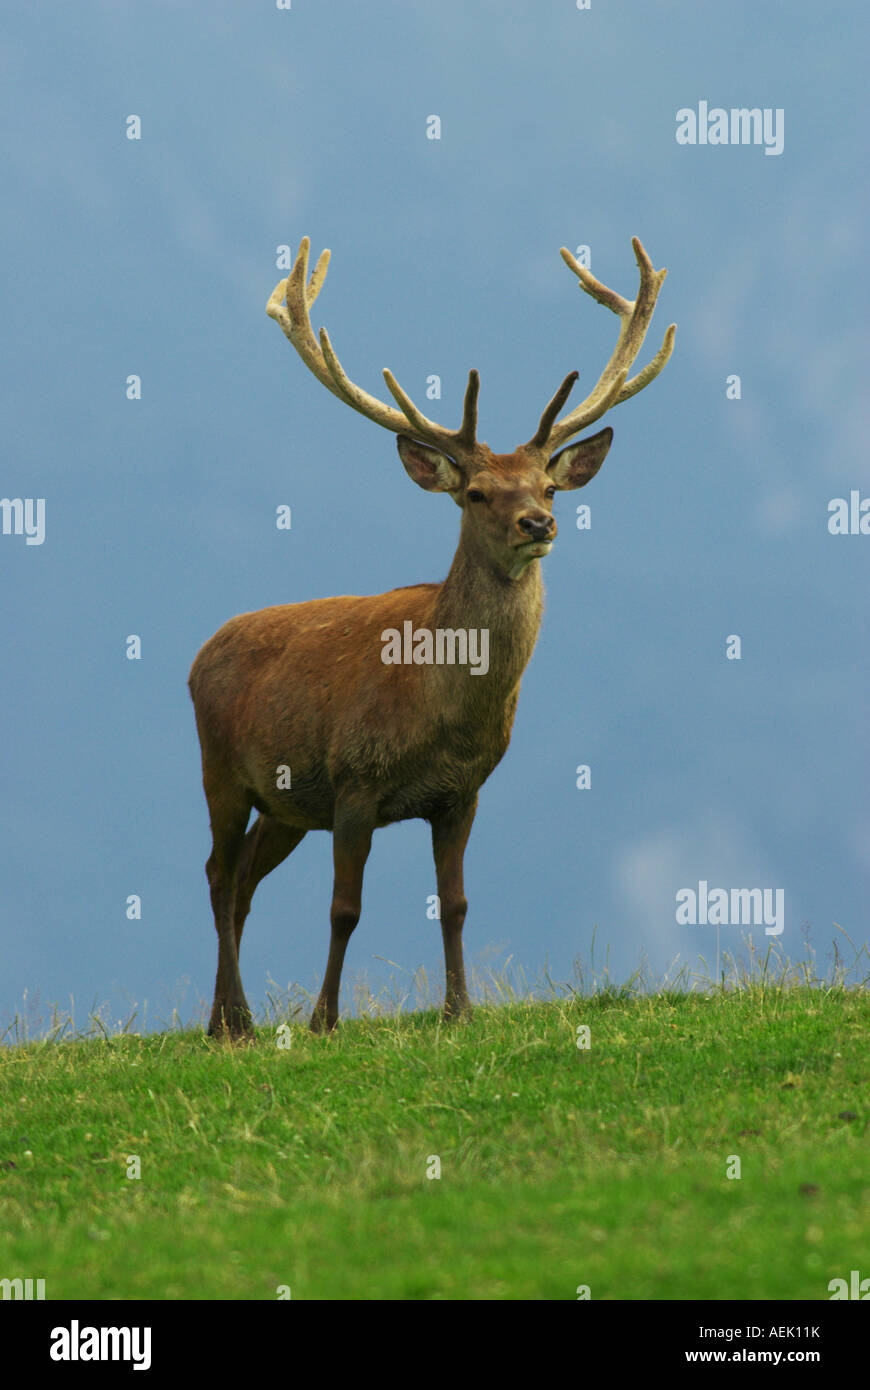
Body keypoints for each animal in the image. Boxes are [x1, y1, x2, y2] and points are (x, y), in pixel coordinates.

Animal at [188, 235, 675, 1040]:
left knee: (242, 880)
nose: (539, 523)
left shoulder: (461, 794)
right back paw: (239, 1023)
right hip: (221, 771)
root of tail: (200, 652)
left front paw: (459, 1011)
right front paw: (324, 1020)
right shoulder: (355, 782)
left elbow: (456, 904)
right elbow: (344, 910)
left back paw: (223, 1020)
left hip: (286, 806)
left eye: (548, 485)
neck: (439, 708)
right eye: (476, 493)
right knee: (218, 876)